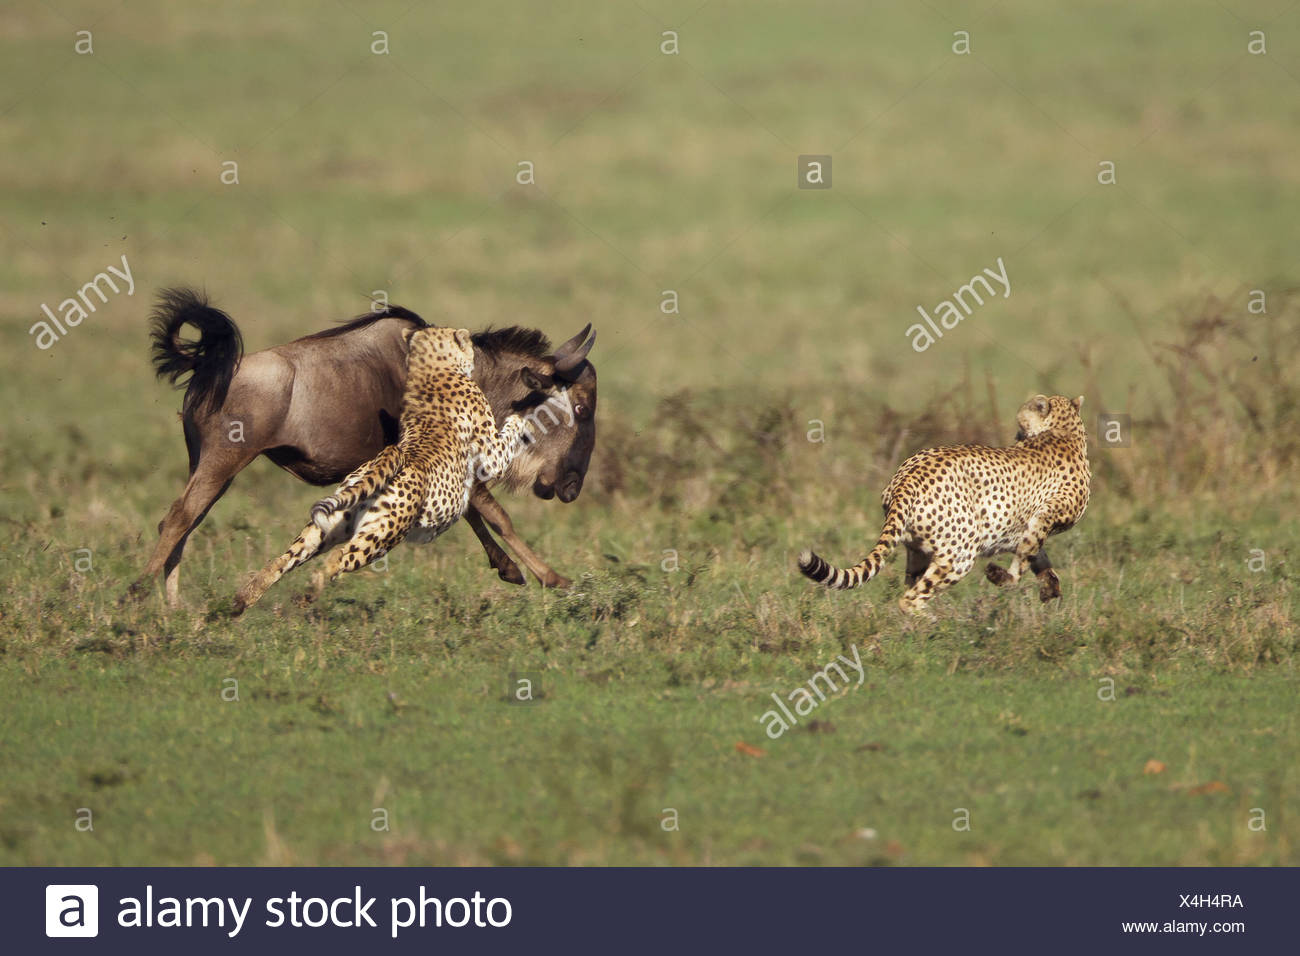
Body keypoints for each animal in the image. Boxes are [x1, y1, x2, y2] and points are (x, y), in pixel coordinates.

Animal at [231, 326, 534, 615]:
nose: (473, 349)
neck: (430, 372)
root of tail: (388, 459)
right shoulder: (492, 455)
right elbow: (506, 437)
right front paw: (524, 417)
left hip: (328, 526)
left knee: (284, 558)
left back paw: (245, 598)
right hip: (382, 536)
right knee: (339, 558)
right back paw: (311, 590)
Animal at [798, 394, 1090, 615]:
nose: (1017, 436)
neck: (1064, 430)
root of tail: (906, 478)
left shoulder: (1029, 527)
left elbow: (1037, 557)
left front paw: (1050, 588)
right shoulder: (1044, 517)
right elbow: (1025, 557)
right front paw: (1003, 577)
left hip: (919, 549)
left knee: (912, 585)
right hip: (960, 555)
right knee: (909, 599)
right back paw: (937, 625)